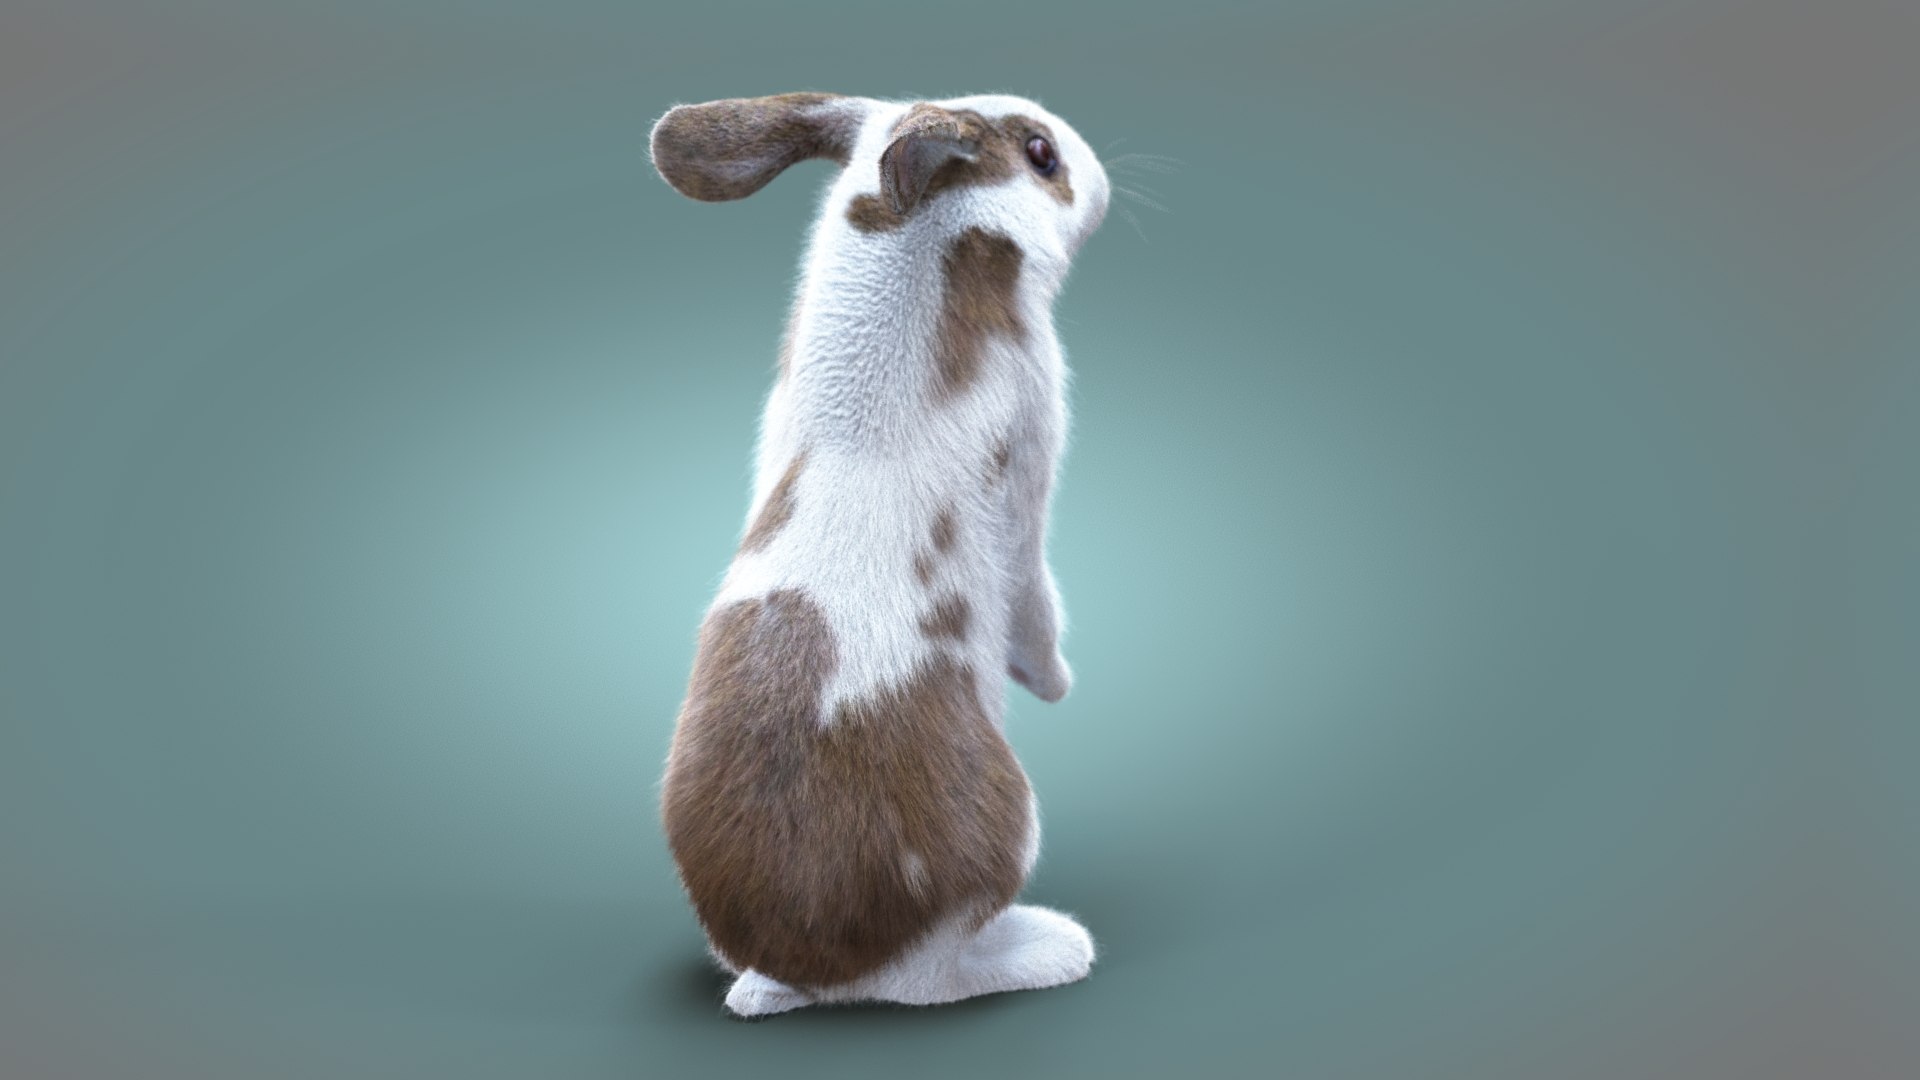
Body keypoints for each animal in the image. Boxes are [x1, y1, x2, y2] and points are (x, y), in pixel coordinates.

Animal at [649, 92, 1109, 1017]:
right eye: (1040, 153)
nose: (1103, 177)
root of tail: (818, 975)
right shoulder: (1036, 443)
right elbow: (1035, 596)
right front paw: (1054, 683)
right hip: (1003, 829)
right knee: (930, 983)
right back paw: (1053, 947)